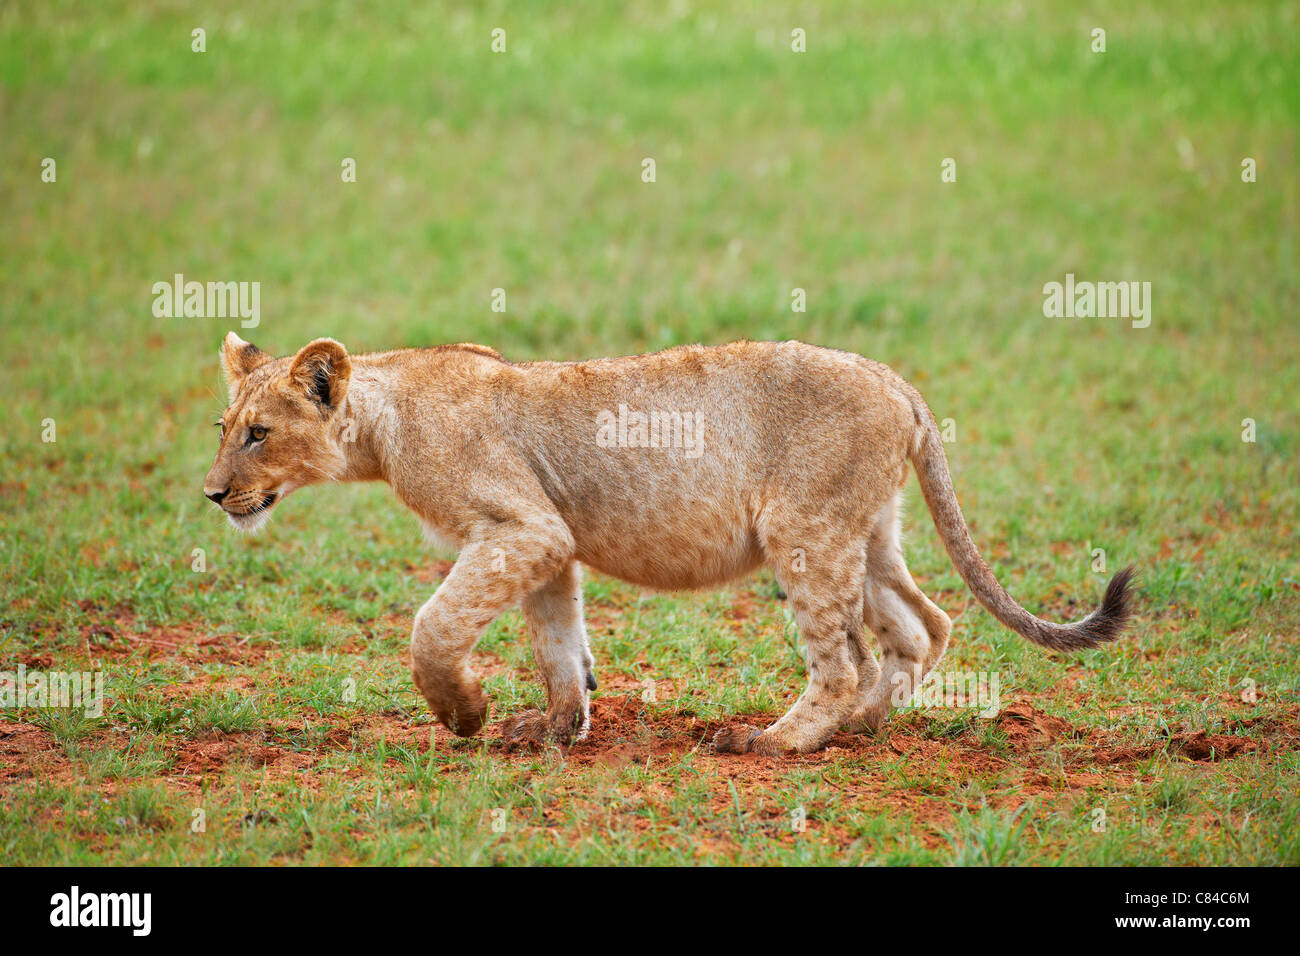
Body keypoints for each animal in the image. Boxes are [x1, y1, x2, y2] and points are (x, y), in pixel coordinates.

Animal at [204, 333, 1134, 755]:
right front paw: (556, 729)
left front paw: (464, 713)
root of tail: (893, 378)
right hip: (869, 531)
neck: (382, 416)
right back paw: (864, 728)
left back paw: (776, 741)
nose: (213, 494)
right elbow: (556, 644)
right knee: (922, 626)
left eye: (258, 433)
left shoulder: (520, 527)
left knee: (846, 660)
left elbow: (432, 627)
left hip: (803, 529)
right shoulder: (548, 541)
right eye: (223, 429)